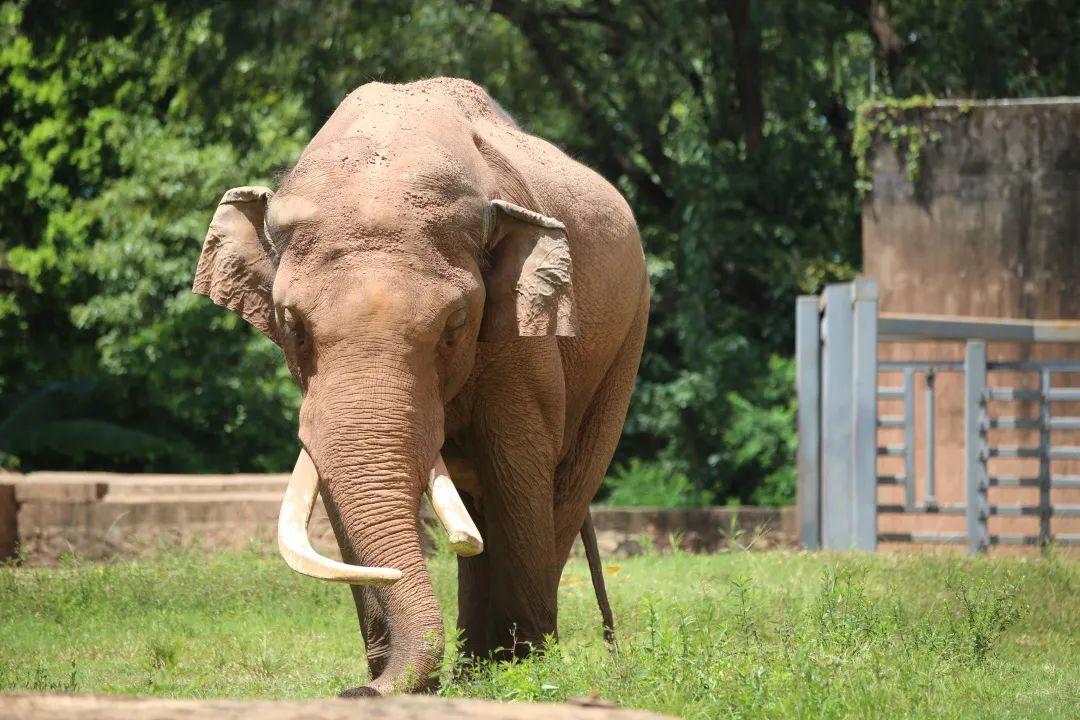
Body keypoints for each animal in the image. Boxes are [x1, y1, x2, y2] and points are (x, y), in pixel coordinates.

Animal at [192, 76, 648, 695]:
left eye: (455, 325)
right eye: (291, 325)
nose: (357, 691)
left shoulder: (520, 340)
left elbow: (517, 470)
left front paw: (523, 676)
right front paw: (400, 678)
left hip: (628, 339)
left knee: (564, 489)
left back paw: (503, 663)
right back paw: (475, 667)